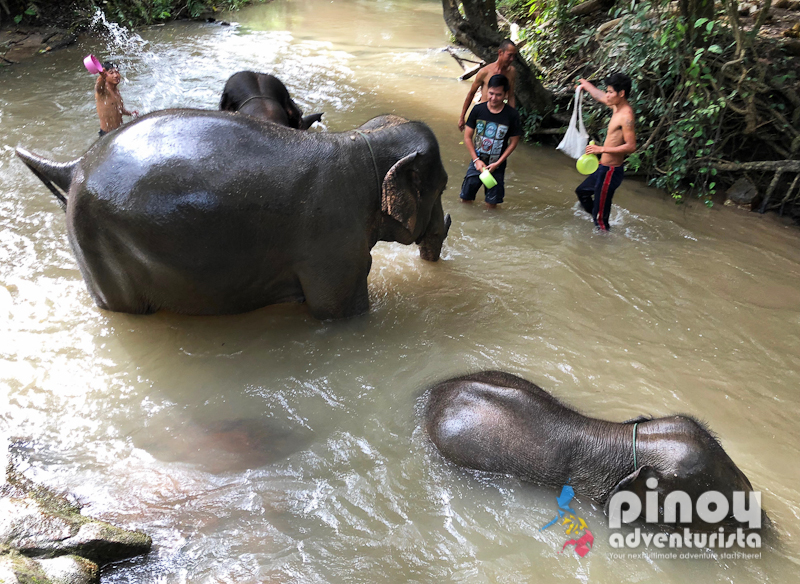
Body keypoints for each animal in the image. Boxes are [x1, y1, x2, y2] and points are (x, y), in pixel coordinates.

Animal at [16, 111, 451, 320]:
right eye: (443, 186)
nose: (434, 259)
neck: (361, 145)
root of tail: (75, 165)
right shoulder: (334, 247)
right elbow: (339, 312)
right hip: (98, 246)